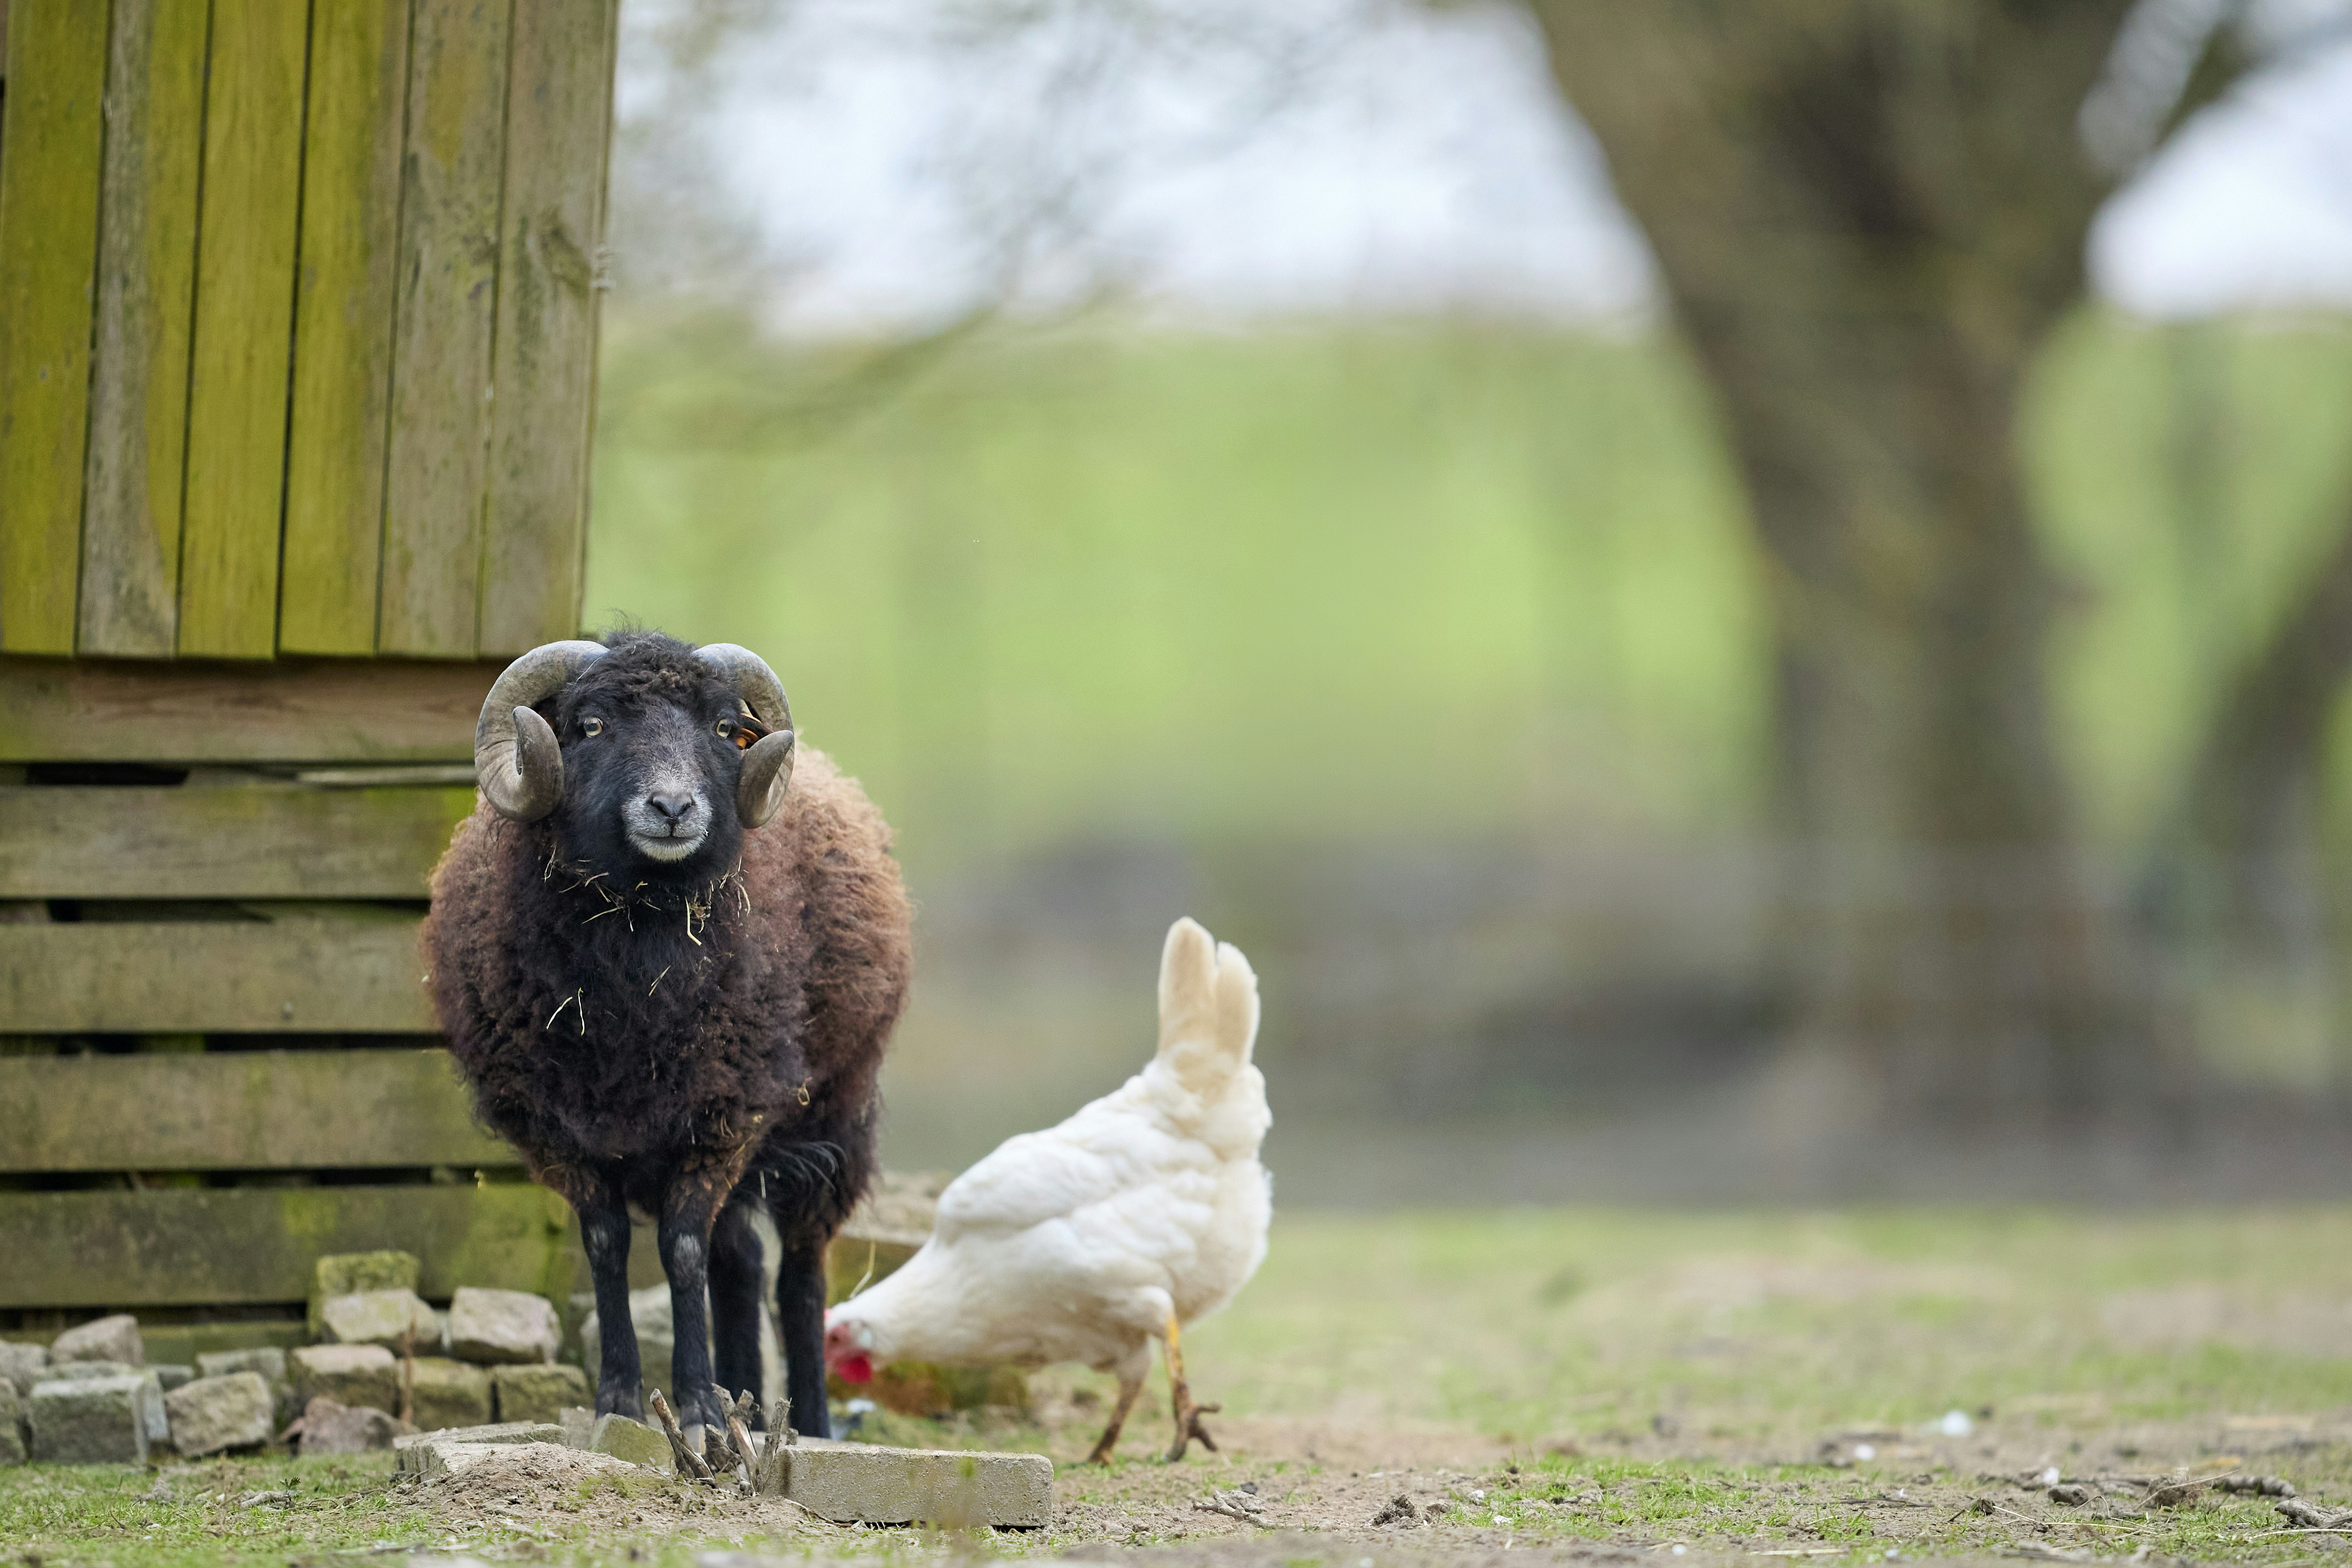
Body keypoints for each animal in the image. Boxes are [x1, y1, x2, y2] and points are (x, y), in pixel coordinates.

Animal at [422, 631, 911, 1444]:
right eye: (589, 726)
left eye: (724, 728)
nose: (674, 807)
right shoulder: (558, 1128)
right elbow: (608, 1246)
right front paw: (621, 1400)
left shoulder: (725, 1114)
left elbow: (680, 1251)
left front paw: (696, 1407)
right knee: (741, 1259)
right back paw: (747, 1394)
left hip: (835, 1114)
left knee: (801, 1270)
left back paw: (808, 1418)